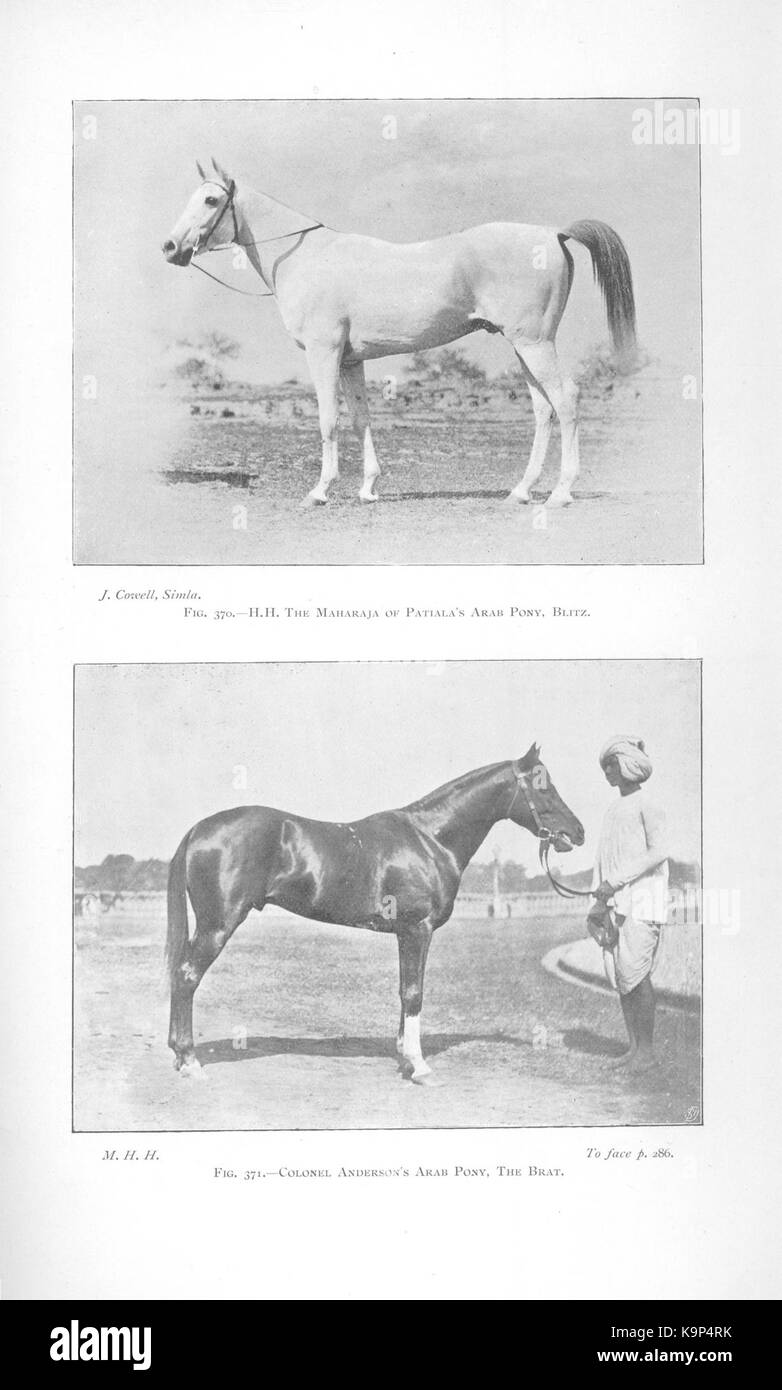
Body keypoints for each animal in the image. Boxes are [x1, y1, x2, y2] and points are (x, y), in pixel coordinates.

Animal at [162, 157, 636, 509]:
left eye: (210, 199)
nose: (170, 248)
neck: (304, 257)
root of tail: (554, 233)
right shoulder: (350, 360)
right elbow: (361, 418)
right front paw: (368, 489)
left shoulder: (323, 352)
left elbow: (328, 419)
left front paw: (319, 492)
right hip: (524, 347)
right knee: (543, 409)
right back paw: (520, 491)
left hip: (535, 344)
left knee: (566, 400)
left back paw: (560, 493)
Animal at [166, 743, 584, 1086]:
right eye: (543, 785)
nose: (577, 832)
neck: (430, 839)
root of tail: (198, 829)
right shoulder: (417, 929)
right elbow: (413, 993)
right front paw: (420, 1067)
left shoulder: (409, 933)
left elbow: (406, 990)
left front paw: (404, 1057)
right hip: (218, 925)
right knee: (187, 977)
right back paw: (190, 1062)